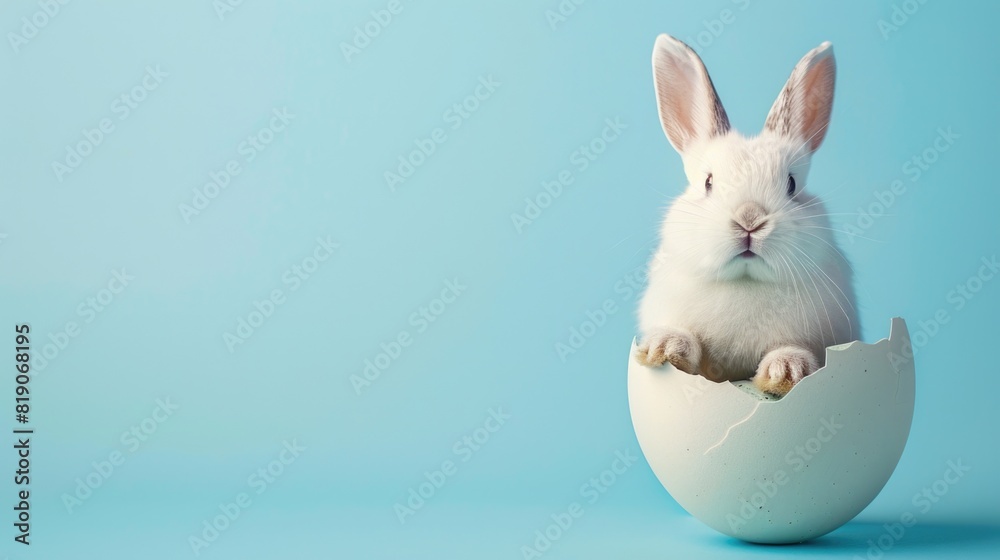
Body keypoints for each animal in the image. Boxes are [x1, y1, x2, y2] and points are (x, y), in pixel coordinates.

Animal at [634, 34, 859, 396]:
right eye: (709, 182)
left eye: (791, 184)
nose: (750, 219)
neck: (745, 280)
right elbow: (684, 338)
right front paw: (665, 348)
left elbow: (793, 350)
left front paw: (785, 371)